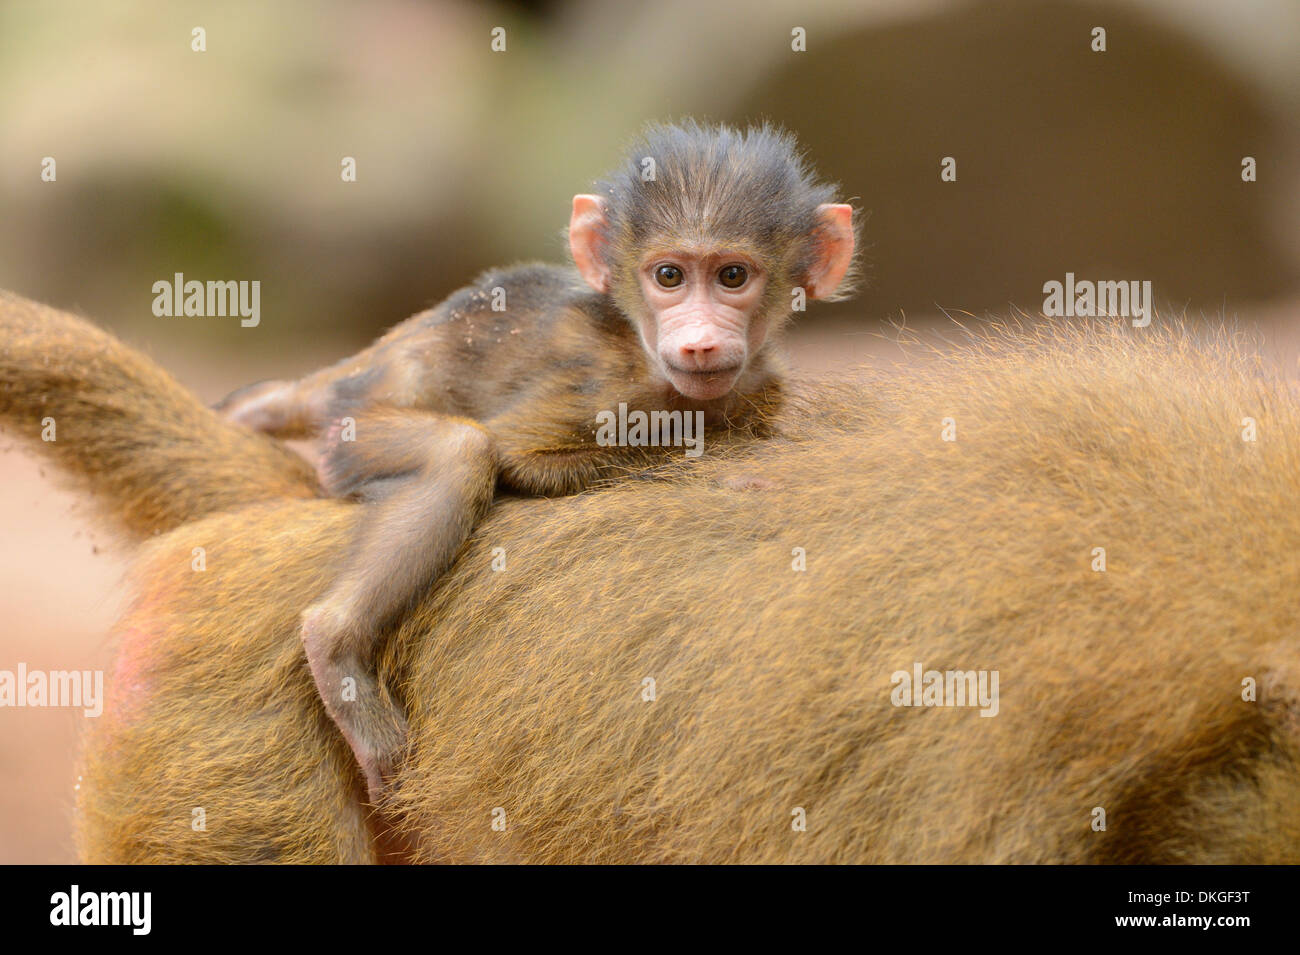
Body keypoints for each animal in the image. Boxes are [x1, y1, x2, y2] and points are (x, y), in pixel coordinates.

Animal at [211, 121, 858, 802]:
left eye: (733, 276)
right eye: (670, 276)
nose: (701, 341)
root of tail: (371, 358)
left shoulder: (762, 386)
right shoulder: (604, 382)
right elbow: (518, 458)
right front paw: (732, 474)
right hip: (355, 426)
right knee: (461, 451)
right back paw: (335, 644)